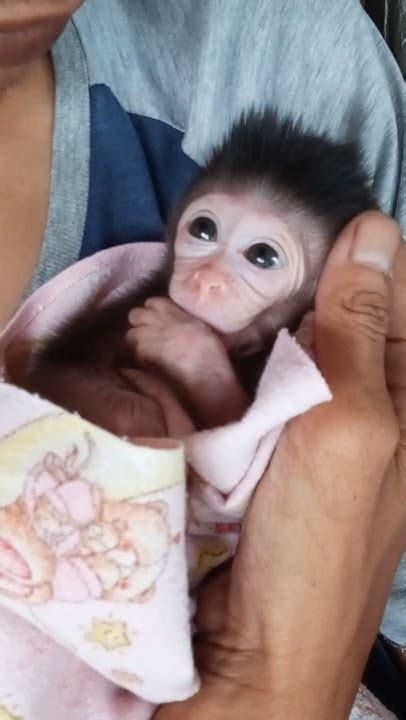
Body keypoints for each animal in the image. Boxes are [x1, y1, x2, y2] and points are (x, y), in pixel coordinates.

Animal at [14, 108, 377, 438]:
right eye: (203, 230)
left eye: (263, 256)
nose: (207, 278)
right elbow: (59, 377)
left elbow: (235, 425)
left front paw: (183, 344)